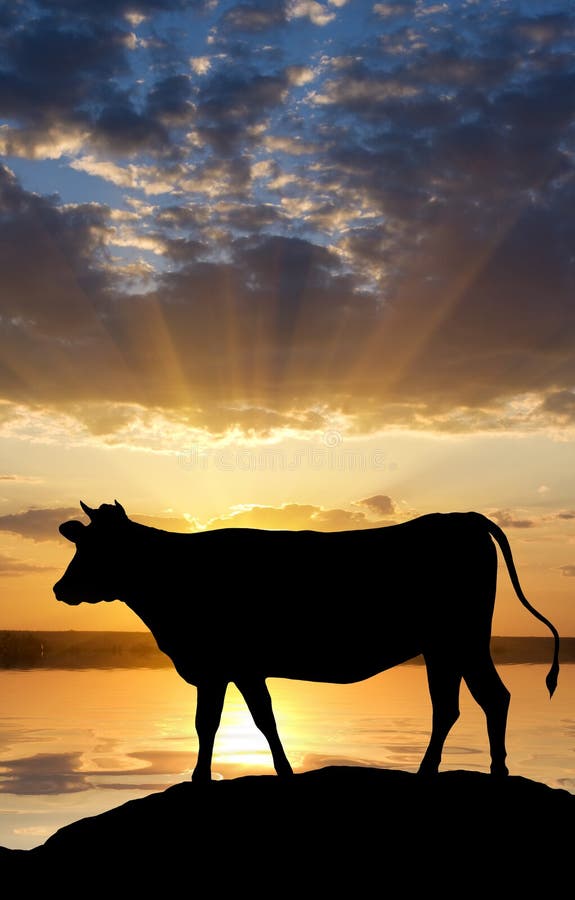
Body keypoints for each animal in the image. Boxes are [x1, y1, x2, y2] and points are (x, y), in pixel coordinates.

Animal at [53, 501, 560, 782]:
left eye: (96, 548)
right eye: (82, 543)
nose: (60, 589)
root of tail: (462, 517)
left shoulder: (227, 667)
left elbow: (232, 722)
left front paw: (213, 776)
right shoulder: (230, 670)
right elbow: (237, 721)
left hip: (462, 639)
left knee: (486, 698)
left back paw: (487, 771)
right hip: (446, 646)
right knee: (462, 704)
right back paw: (447, 770)